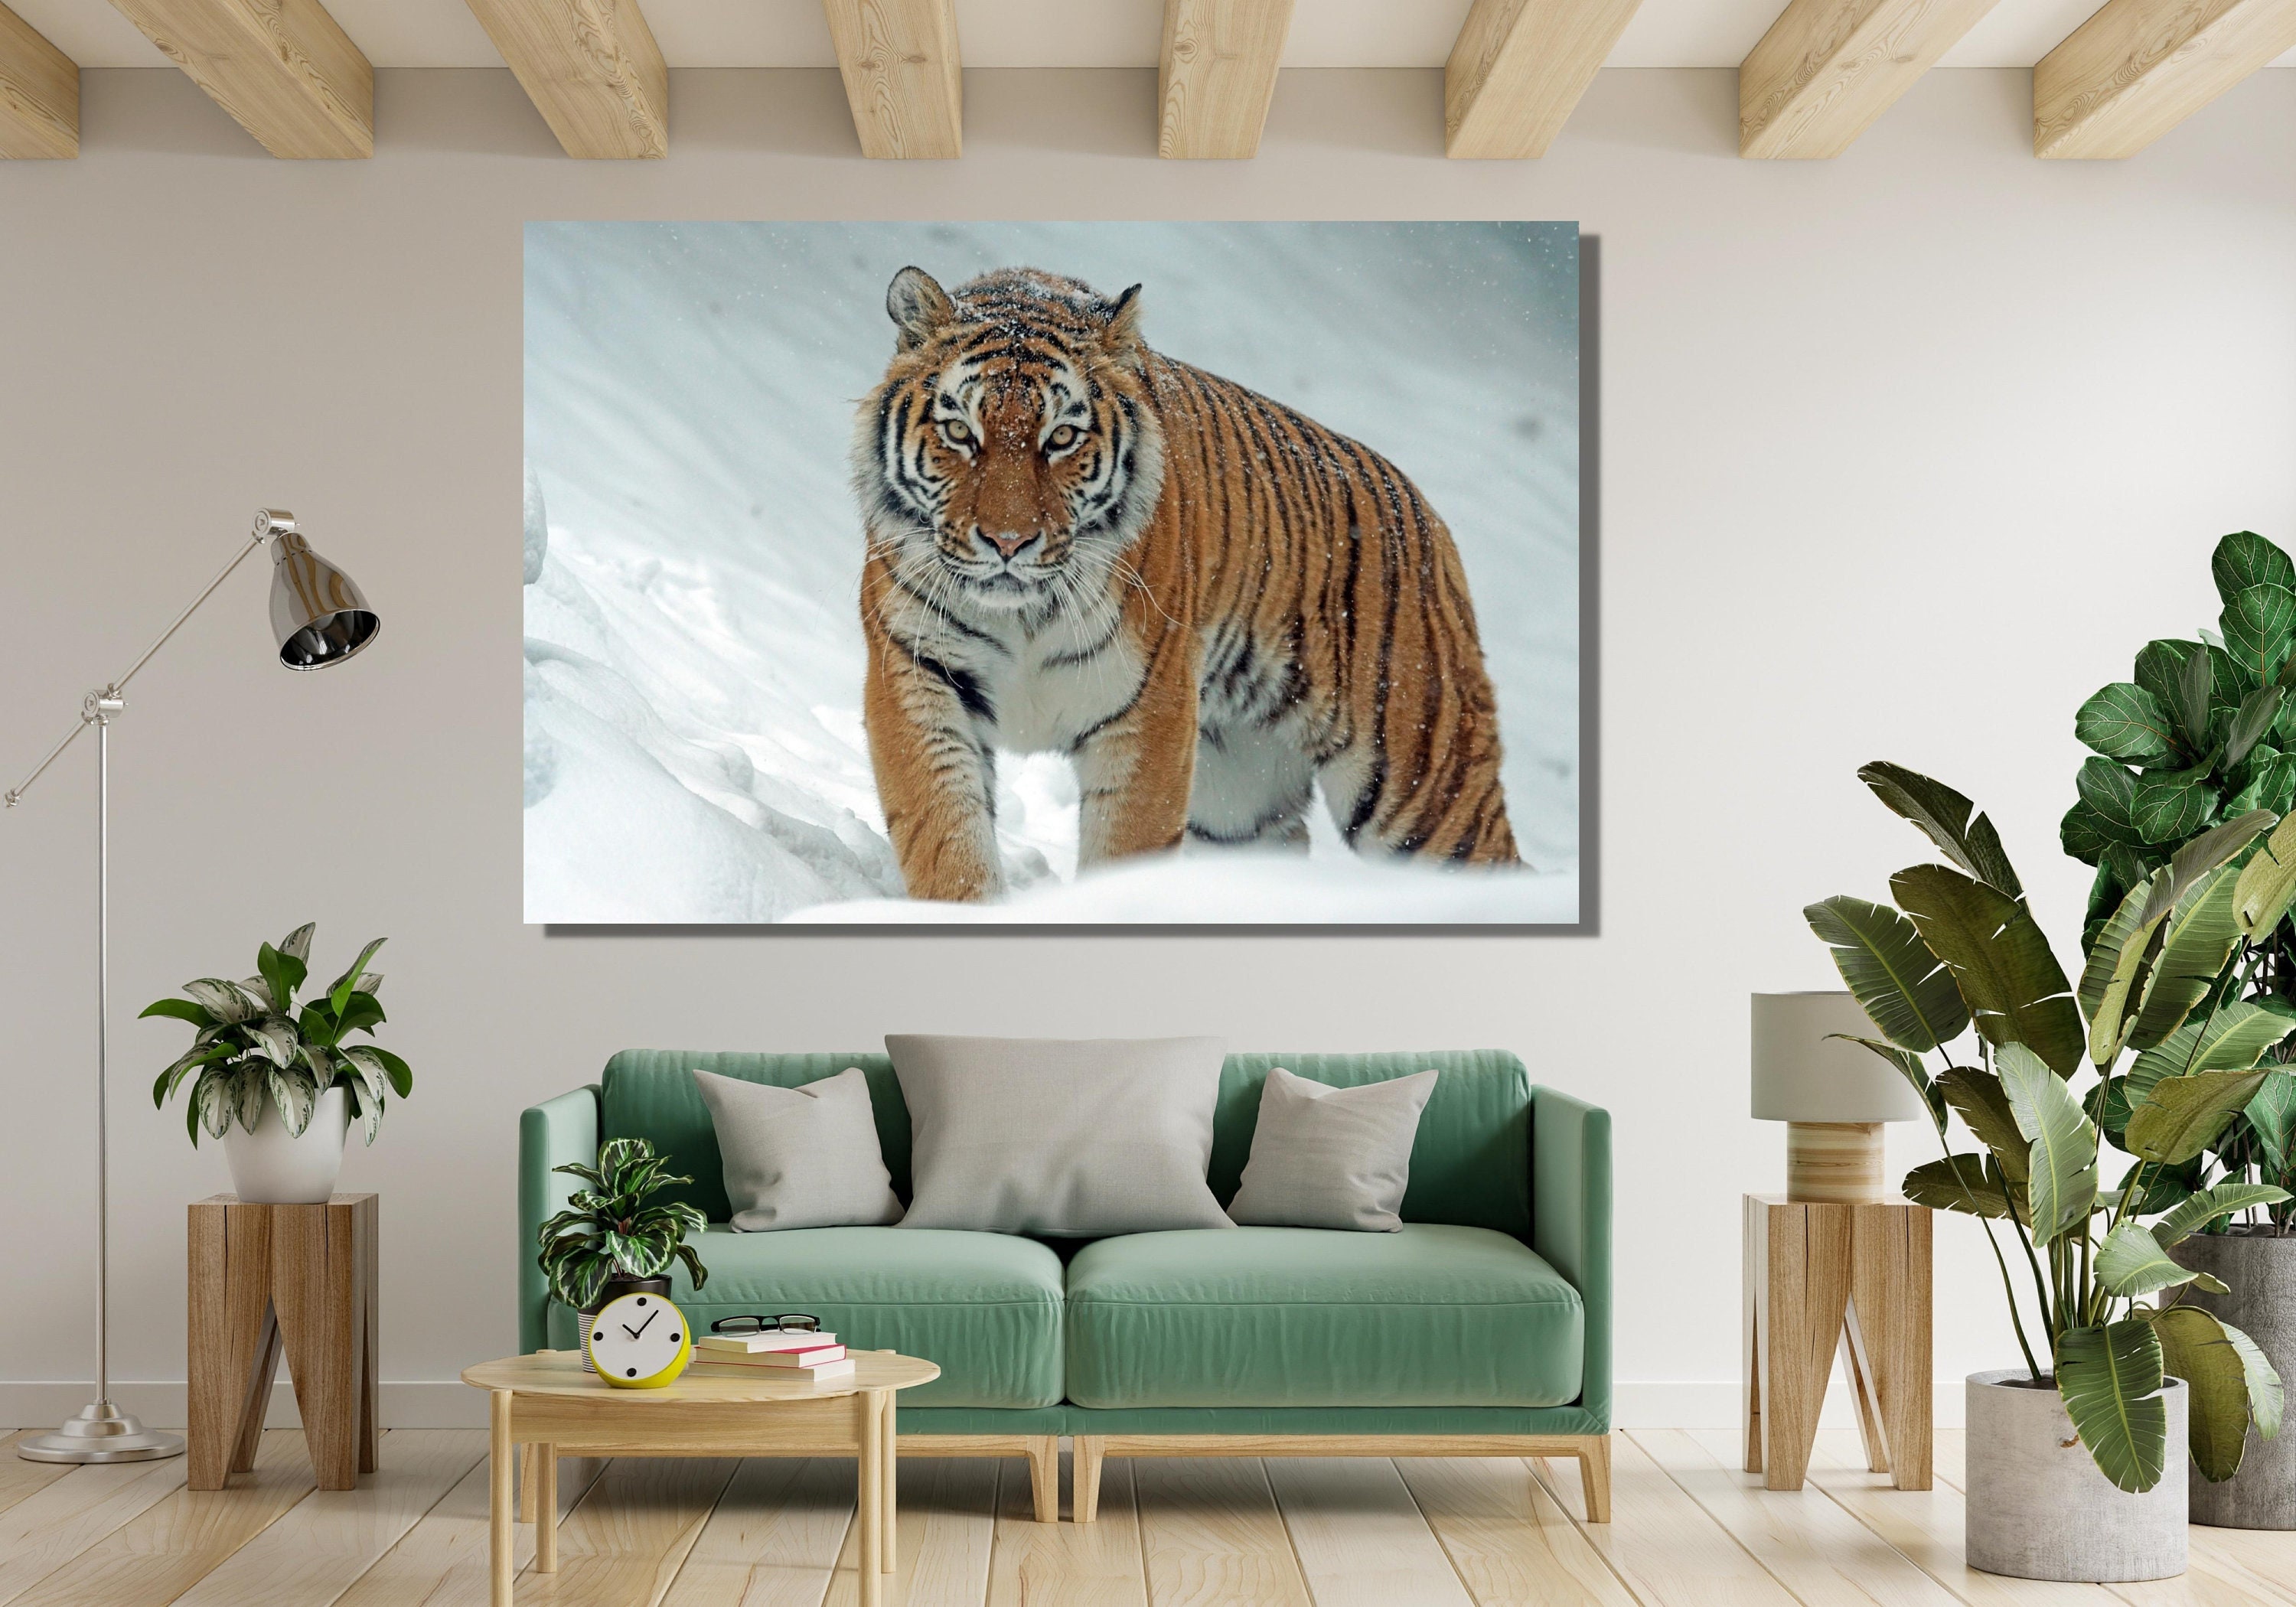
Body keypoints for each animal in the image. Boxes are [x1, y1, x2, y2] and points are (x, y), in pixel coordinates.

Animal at [850, 264, 1520, 902]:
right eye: (960, 433)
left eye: (1061, 437)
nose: (1009, 542)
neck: (1023, 615)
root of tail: (1429, 518)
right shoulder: (917, 673)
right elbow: (946, 836)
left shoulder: (1151, 710)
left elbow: (1125, 849)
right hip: (1239, 801)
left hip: (1424, 785)